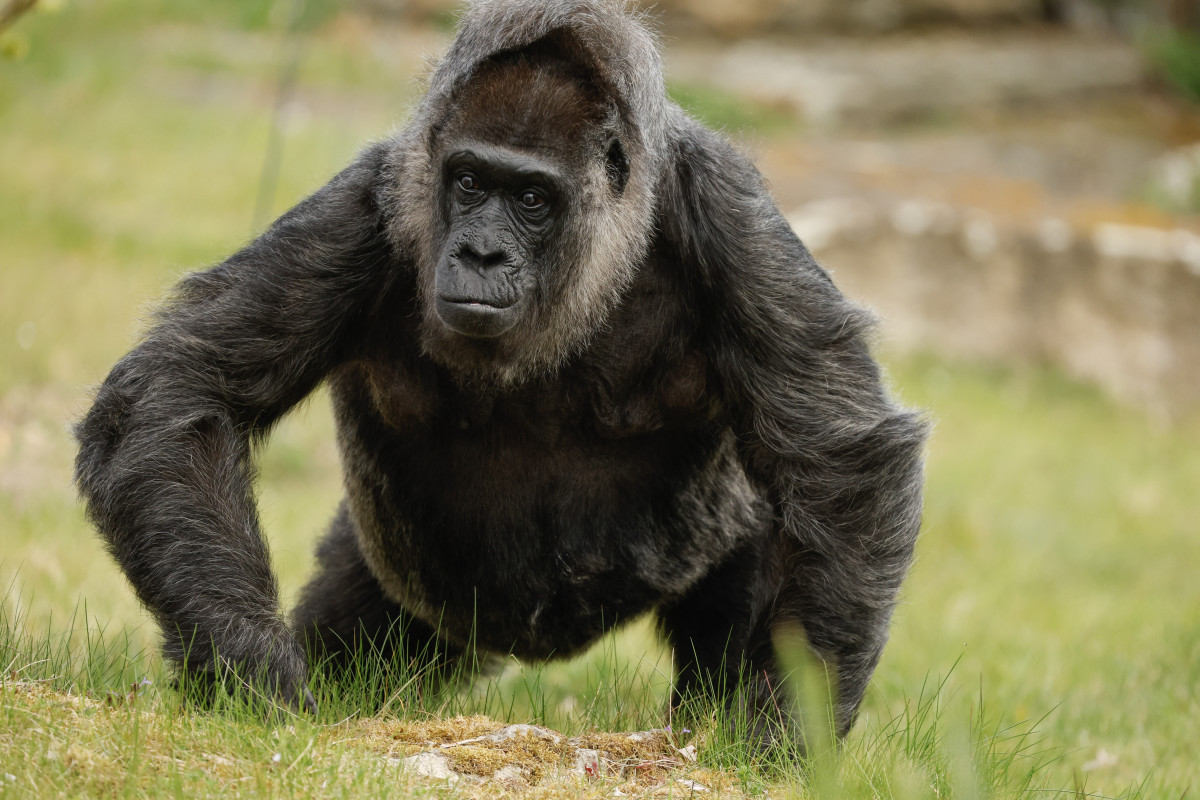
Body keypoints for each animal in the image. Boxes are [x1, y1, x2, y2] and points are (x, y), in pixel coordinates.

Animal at [74, 0, 926, 745]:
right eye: (470, 182)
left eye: (531, 198)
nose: (481, 253)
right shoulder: (377, 196)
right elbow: (182, 389)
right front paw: (246, 666)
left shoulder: (726, 211)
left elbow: (838, 458)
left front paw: (788, 726)